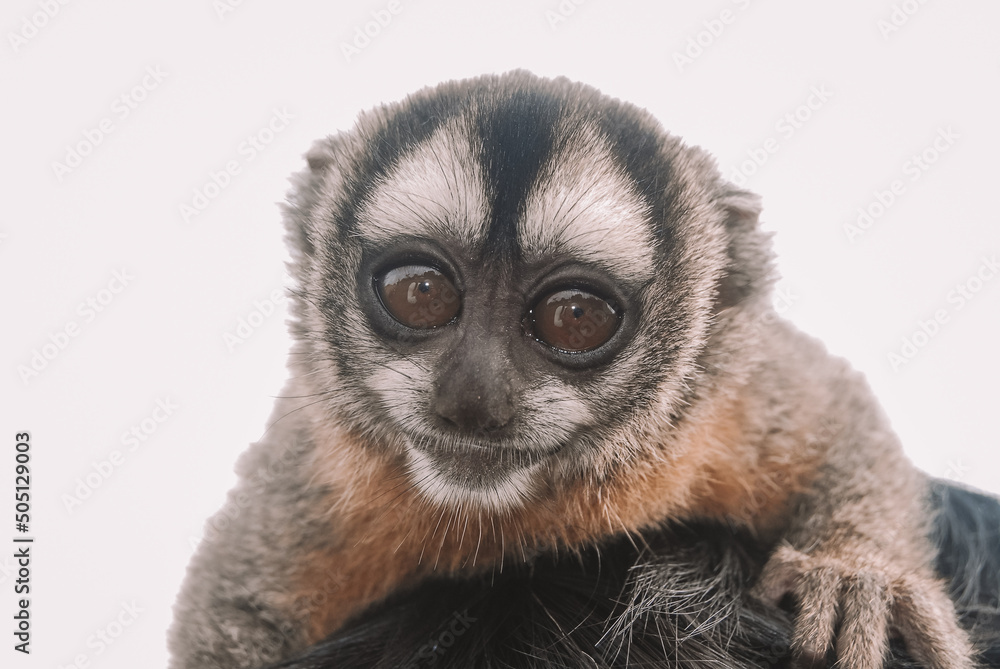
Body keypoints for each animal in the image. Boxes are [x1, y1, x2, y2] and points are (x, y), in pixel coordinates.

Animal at [168, 70, 986, 669]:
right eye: (421, 292)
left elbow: (841, 411)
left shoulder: (726, 399)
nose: (473, 399)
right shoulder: (307, 486)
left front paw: (856, 577)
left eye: (574, 316)